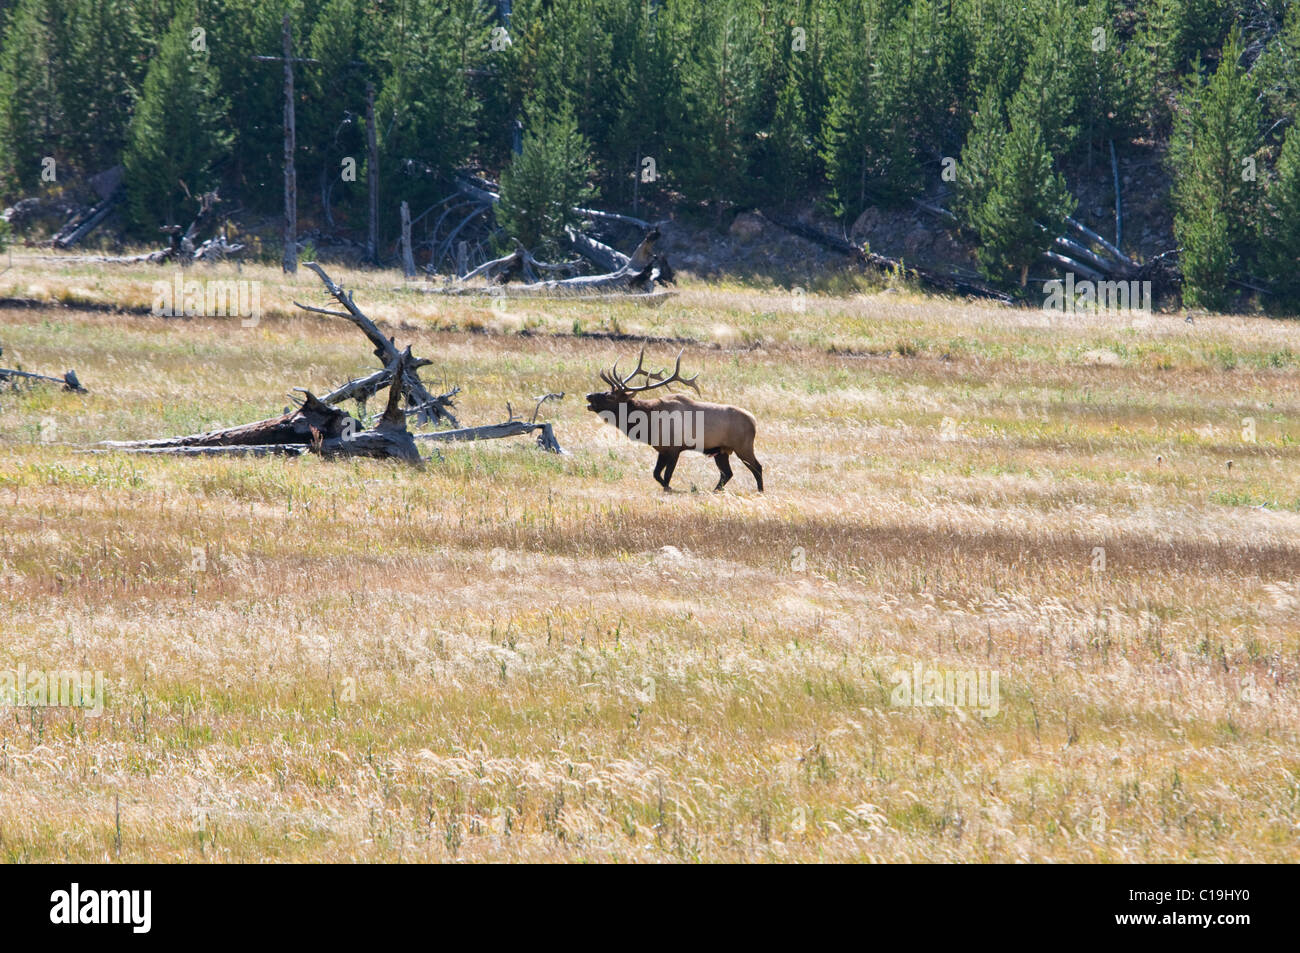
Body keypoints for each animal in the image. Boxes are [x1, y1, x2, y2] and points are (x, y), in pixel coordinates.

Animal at [586, 349, 763, 492]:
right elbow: (656, 474)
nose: (588, 395)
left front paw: (672, 488)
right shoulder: (662, 450)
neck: (649, 423)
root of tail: (753, 420)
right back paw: (714, 491)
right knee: (727, 473)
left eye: (610, 396)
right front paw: (673, 487)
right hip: (721, 451)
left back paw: (760, 491)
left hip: (743, 446)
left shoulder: (674, 449)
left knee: (757, 467)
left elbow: (666, 476)